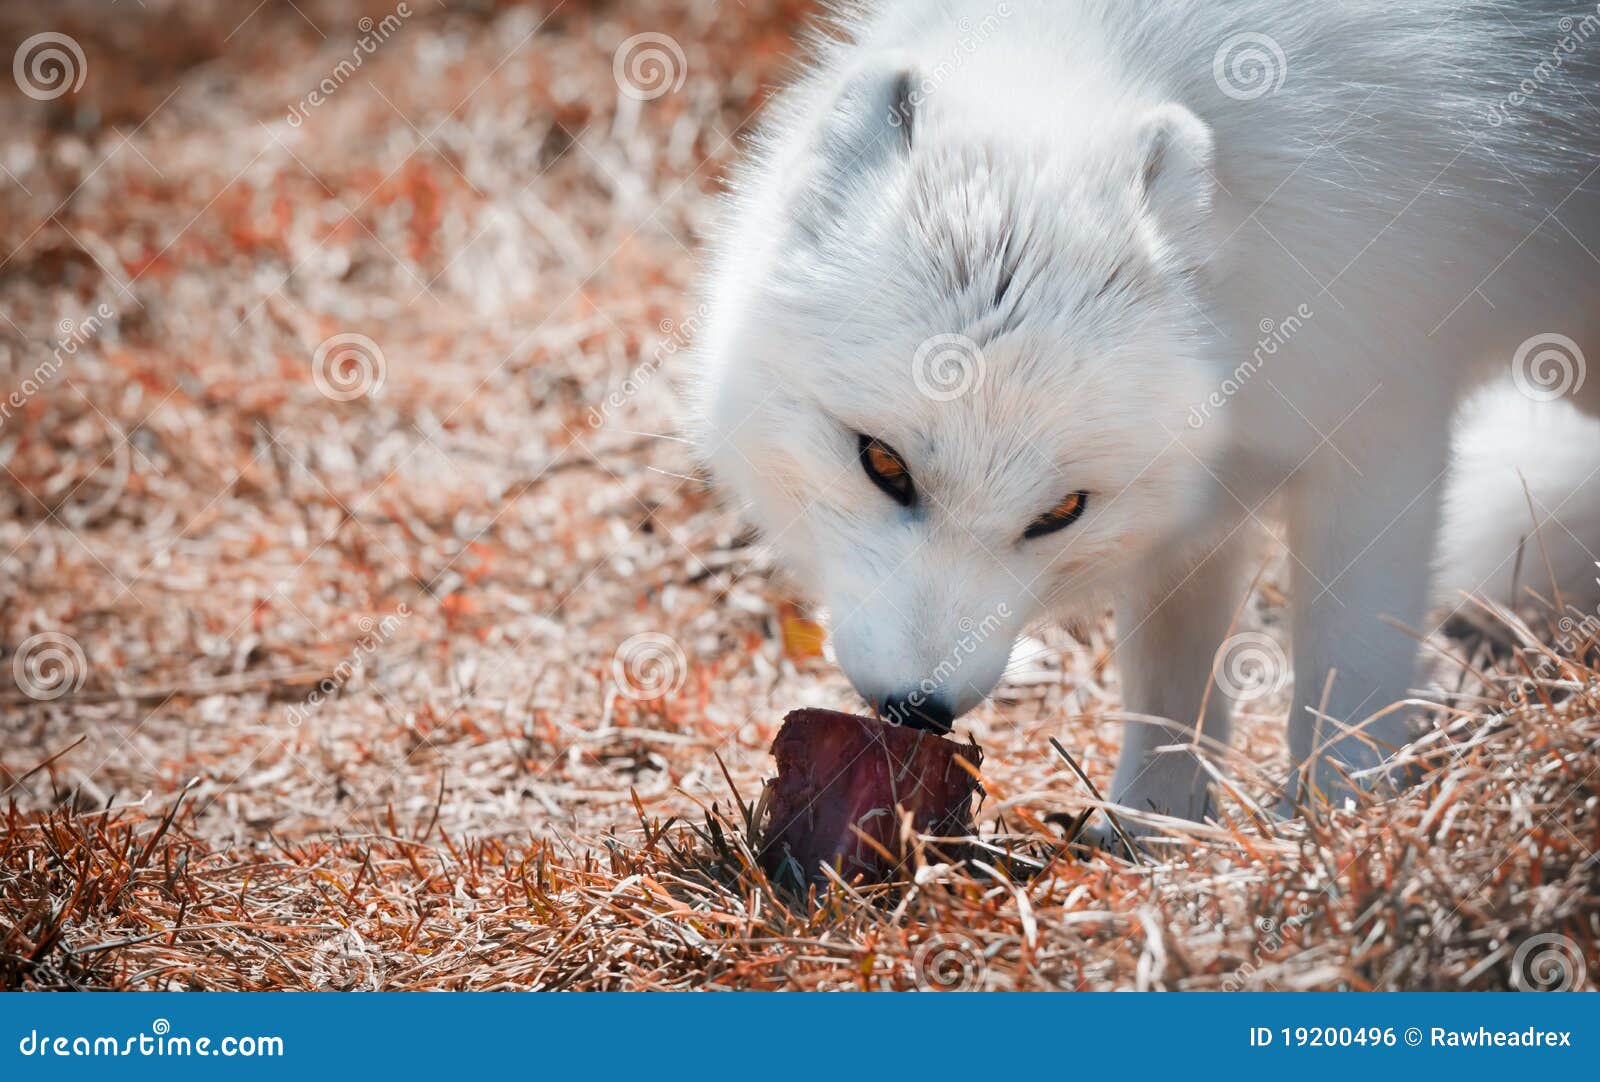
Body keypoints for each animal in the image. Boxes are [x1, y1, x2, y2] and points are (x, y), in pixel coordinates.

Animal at [688, 0, 1600, 829]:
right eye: (883, 464)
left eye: (1060, 512)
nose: (918, 710)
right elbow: (1171, 672)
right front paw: (1151, 823)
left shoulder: (1385, 422)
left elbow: (1350, 674)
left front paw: (1330, 827)